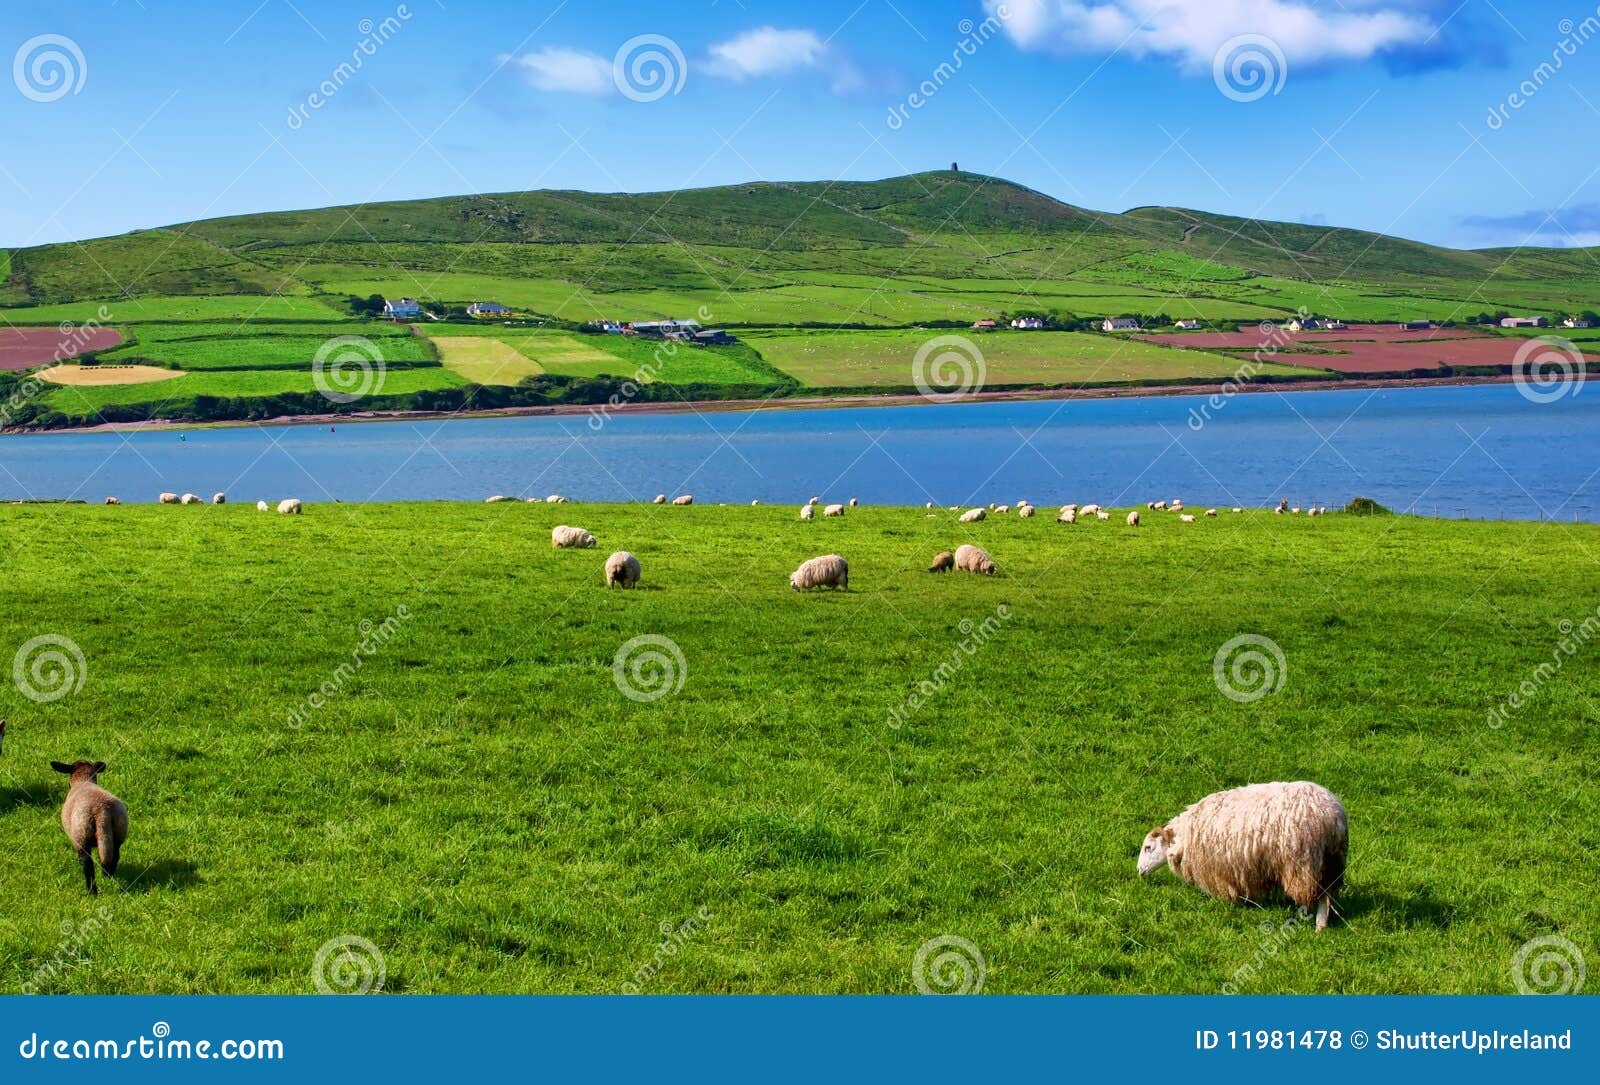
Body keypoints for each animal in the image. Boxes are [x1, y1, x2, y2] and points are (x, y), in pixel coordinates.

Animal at [51, 760, 128, 897]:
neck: (83, 780)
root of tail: (102, 810)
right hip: (118, 832)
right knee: (113, 856)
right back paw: (108, 877)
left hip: (82, 834)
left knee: (88, 866)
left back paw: (92, 893)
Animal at [1137, 781, 1348, 932]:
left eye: (1148, 847)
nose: (1139, 871)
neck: (1185, 836)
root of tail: (1334, 816)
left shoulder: (1218, 868)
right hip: (1332, 861)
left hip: (1306, 862)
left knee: (1320, 894)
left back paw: (1317, 925)